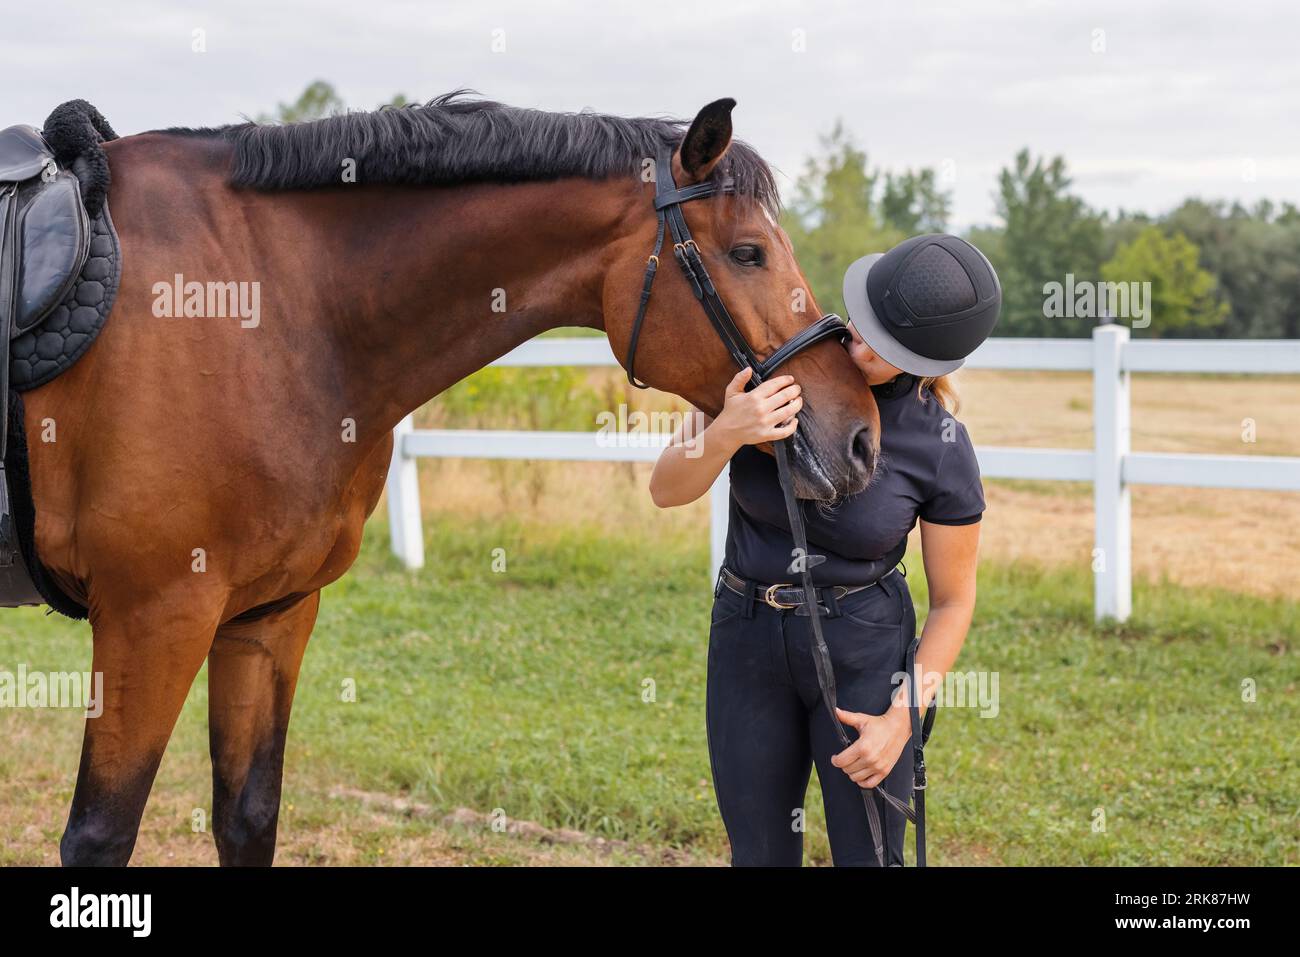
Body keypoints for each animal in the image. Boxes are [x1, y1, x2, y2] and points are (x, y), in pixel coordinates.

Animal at [21, 93, 880, 865]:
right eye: (747, 252)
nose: (862, 436)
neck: (270, 308)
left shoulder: (269, 613)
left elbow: (247, 818)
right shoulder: (153, 614)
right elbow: (100, 835)